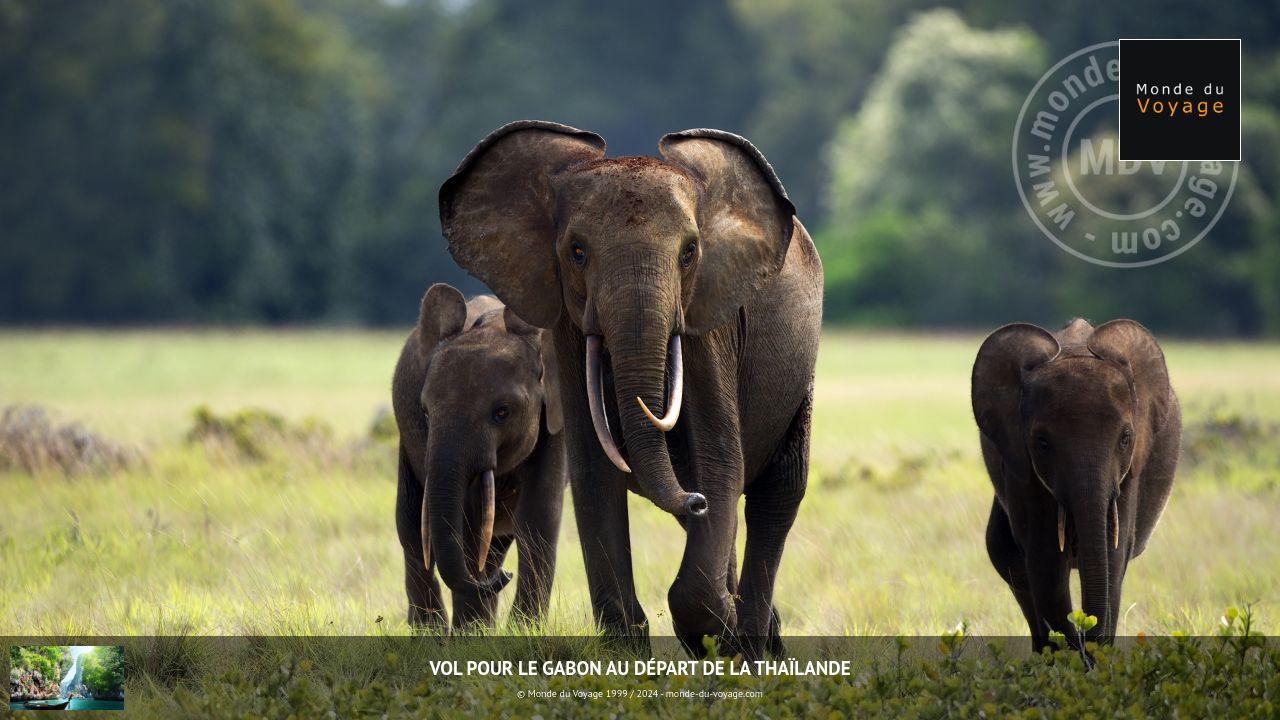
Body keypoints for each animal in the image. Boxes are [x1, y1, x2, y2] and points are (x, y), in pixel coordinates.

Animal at [391, 280, 568, 627]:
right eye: (426, 413)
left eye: (502, 412)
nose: (504, 577)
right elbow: (467, 520)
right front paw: (472, 632)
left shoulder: (558, 419)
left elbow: (538, 513)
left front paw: (524, 629)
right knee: (410, 521)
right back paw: (431, 629)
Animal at [437, 119, 819, 655]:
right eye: (577, 252)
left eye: (689, 253)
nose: (695, 500)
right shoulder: (566, 324)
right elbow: (594, 469)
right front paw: (632, 652)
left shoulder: (709, 320)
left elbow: (719, 458)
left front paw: (714, 630)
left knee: (777, 493)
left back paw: (750, 645)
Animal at [972, 316, 1182, 648]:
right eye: (1042, 443)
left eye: (1125, 439)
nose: (1087, 636)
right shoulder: (1023, 468)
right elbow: (1045, 560)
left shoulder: (1130, 473)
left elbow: (1112, 556)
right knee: (1008, 560)